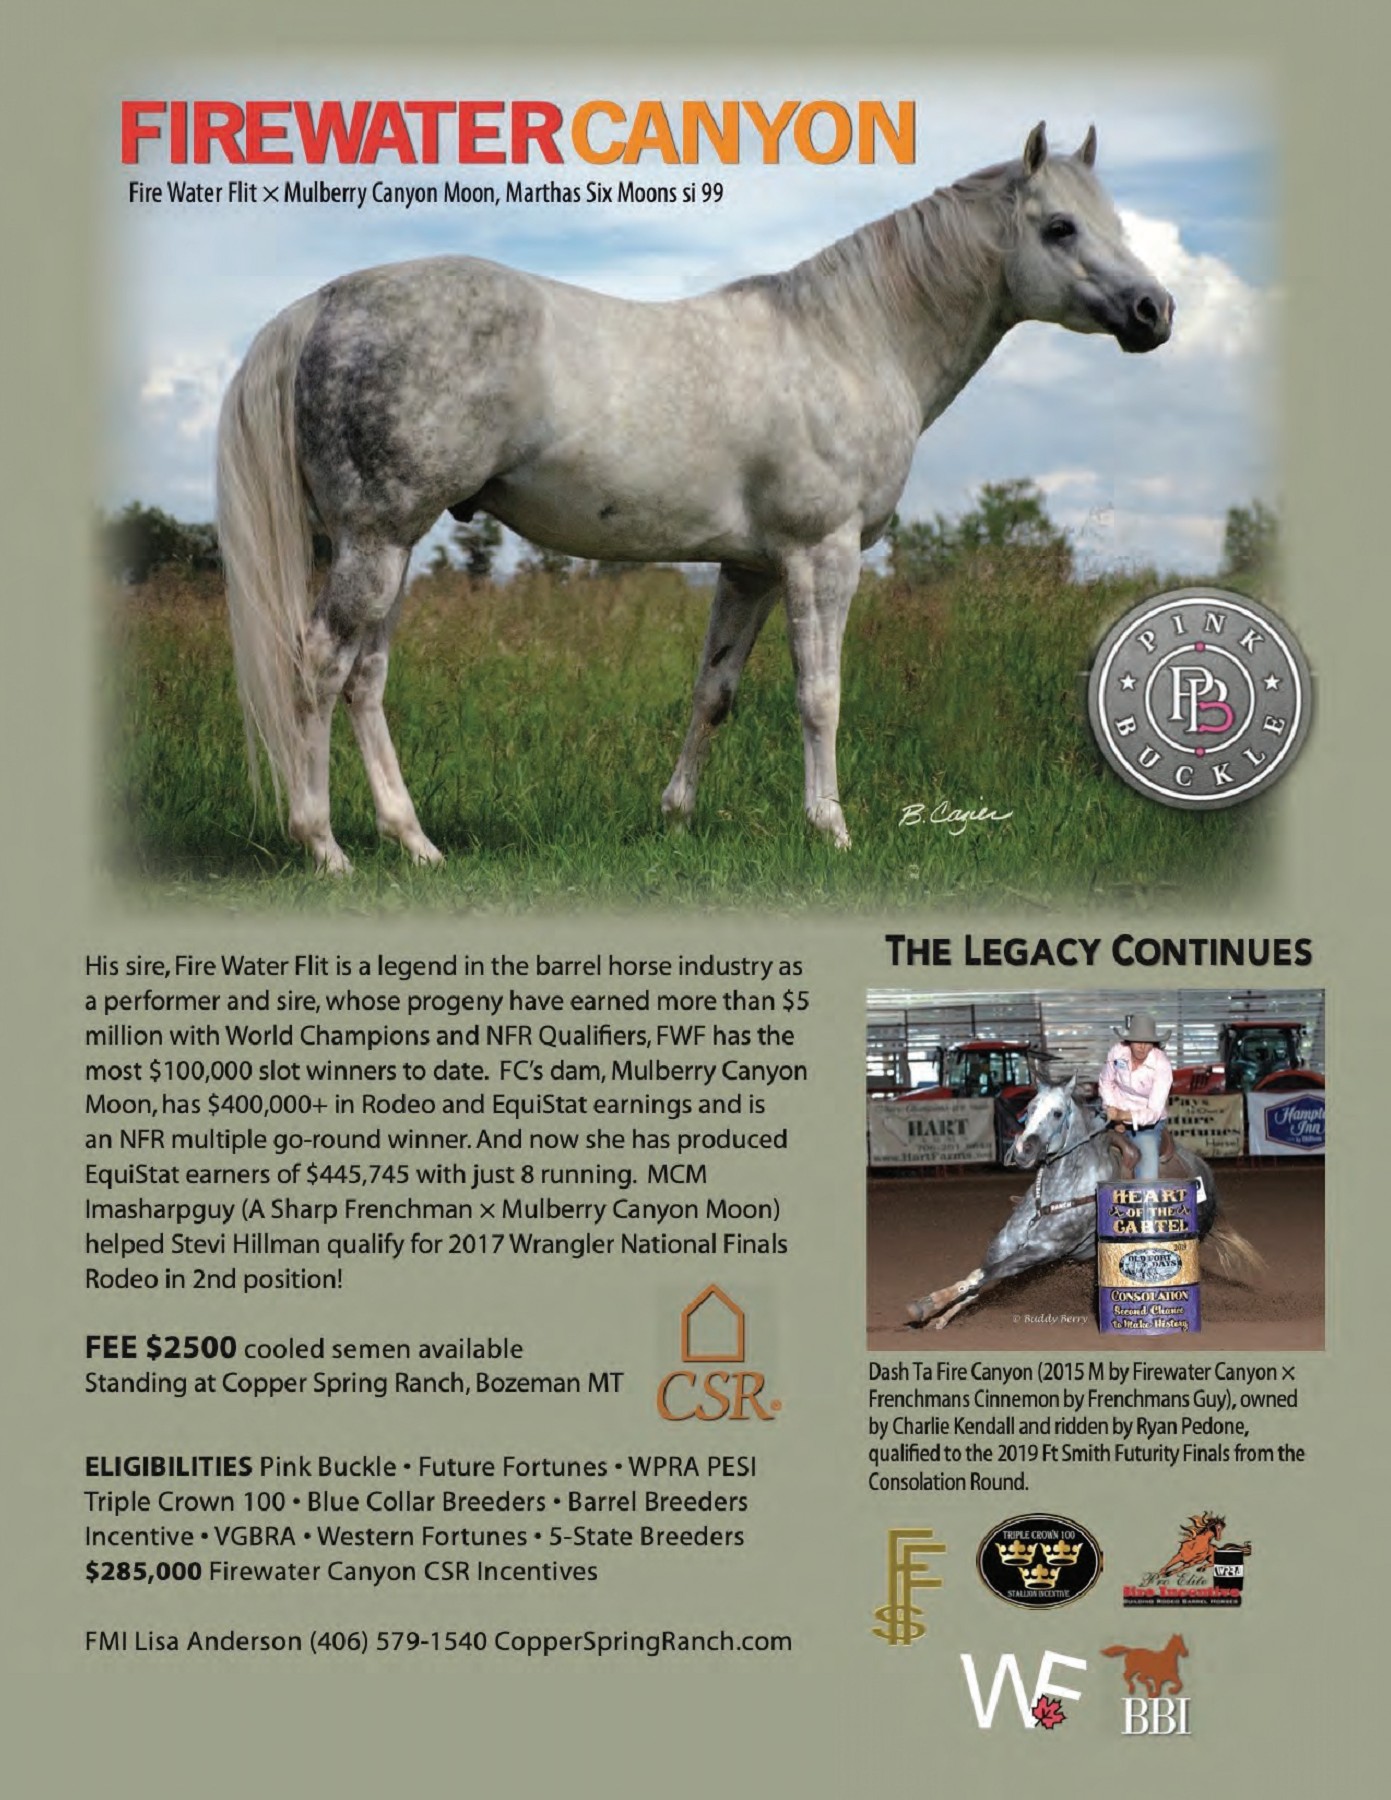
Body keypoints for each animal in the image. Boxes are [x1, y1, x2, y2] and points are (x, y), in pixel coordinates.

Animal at [216, 123, 1173, 872]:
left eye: (1113, 222)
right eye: (1058, 226)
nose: (1153, 310)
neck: (850, 339)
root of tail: (324, 302)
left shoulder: (749, 568)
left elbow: (713, 690)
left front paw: (674, 819)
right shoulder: (818, 553)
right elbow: (819, 694)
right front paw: (830, 829)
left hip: (386, 544)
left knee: (365, 678)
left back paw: (414, 843)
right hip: (375, 540)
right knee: (320, 665)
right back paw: (325, 848)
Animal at [906, 1076, 1261, 1327]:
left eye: (1057, 1113)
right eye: (1029, 1109)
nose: (1023, 1150)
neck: (1061, 1187)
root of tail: (1205, 1171)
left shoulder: (1043, 1250)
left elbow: (986, 1275)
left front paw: (926, 1305)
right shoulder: (1006, 1242)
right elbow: (979, 1276)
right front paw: (939, 1314)